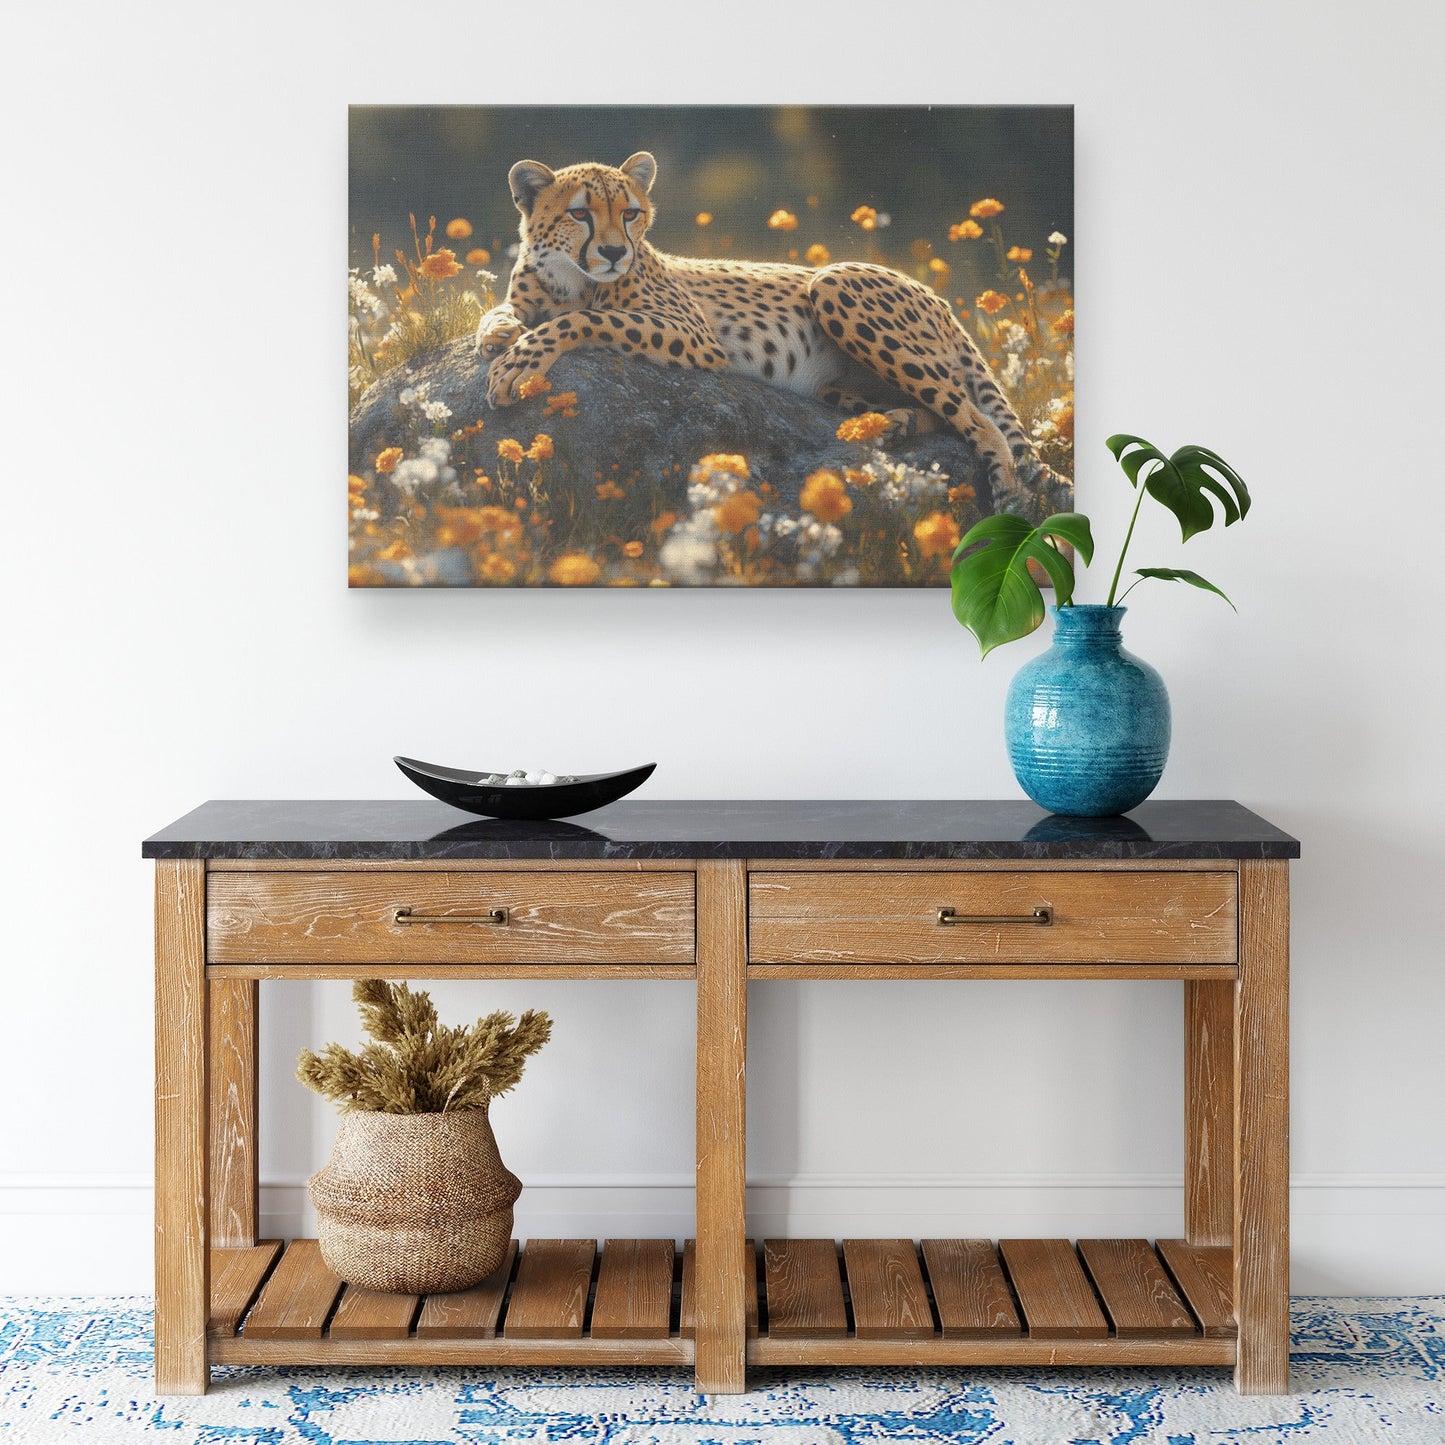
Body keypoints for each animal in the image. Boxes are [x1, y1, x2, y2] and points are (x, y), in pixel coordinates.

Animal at [475, 150, 1054, 504]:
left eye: (631, 213)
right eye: (580, 214)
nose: (617, 252)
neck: (566, 277)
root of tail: (940, 297)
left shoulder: (696, 337)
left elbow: (586, 319)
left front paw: (516, 366)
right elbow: (499, 310)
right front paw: (495, 334)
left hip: (834, 283)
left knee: (978, 417)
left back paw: (1005, 484)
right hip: (836, 385)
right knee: (945, 409)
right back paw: (894, 425)